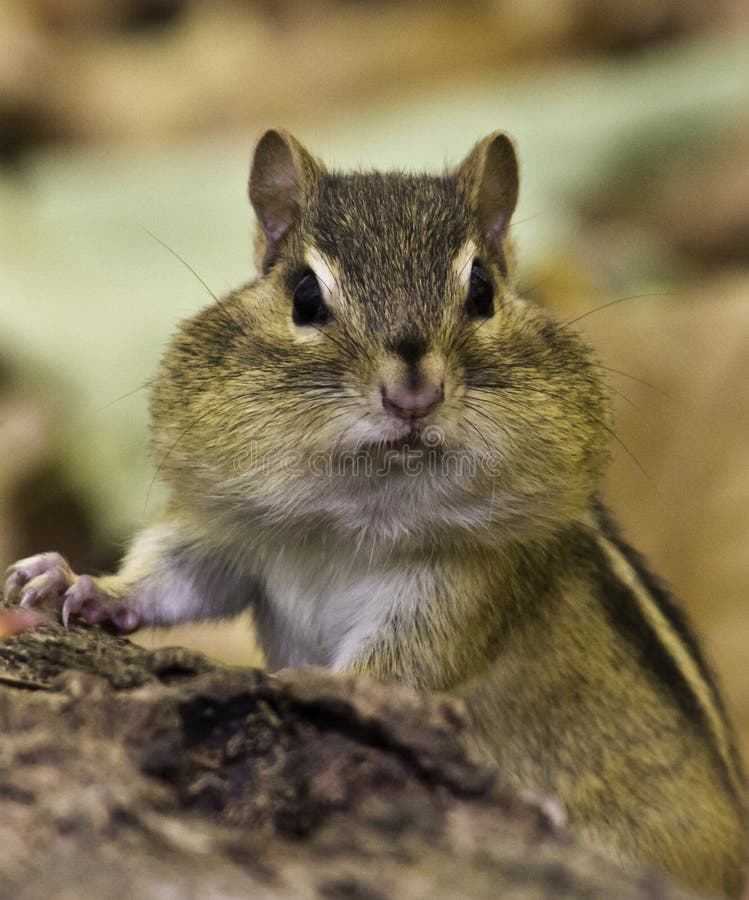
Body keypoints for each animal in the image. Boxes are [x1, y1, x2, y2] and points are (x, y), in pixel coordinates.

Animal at [5, 129, 747, 897]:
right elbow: (177, 579)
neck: (352, 512)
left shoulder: (466, 582)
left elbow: (389, 672)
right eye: (305, 294)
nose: (413, 392)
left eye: (482, 291)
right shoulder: (232, 533)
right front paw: (78, 584)